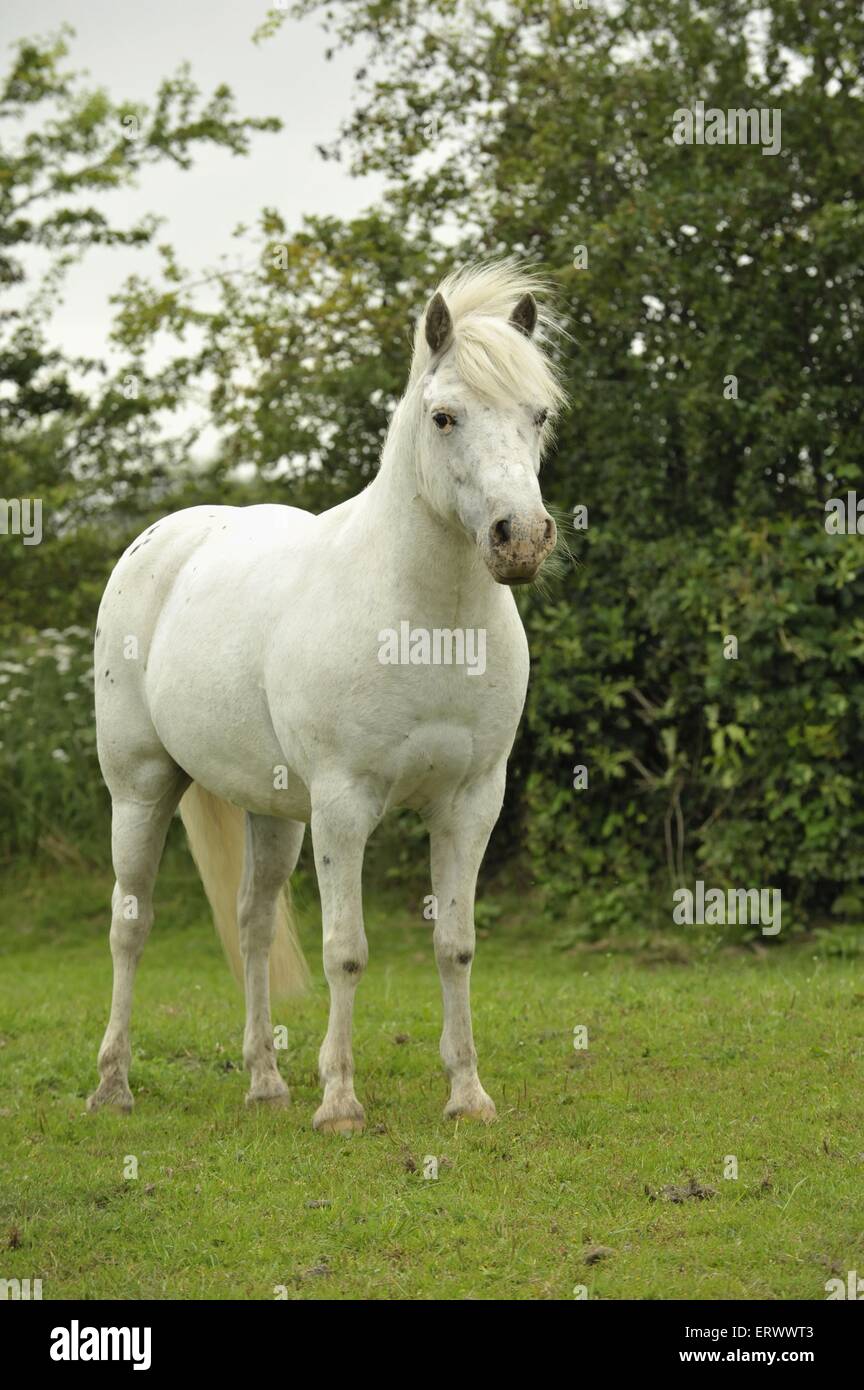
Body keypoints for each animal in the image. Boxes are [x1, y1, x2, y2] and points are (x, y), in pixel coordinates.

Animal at [87, 261, 565, 1133]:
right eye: (444, 416)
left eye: (537, 414)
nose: (520, 538)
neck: (427, 625)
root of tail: (160, 540)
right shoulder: (345, 807)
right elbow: (347, 950)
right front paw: (340, 1102)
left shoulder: (471, 803)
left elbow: (456, 944)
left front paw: (468, 1095)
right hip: (140, 790)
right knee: (128, 925)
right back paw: (113, 1086)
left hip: (273, 811)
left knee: (251, 923)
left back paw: (266, 1083)